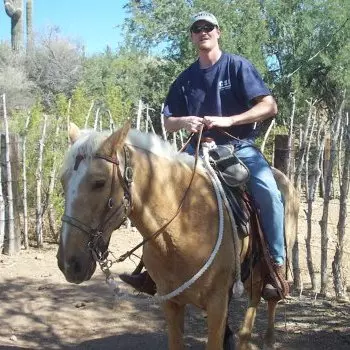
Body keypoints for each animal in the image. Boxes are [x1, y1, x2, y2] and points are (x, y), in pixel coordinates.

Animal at [56, 121, 298, 348]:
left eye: (99, 182)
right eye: (62, 181)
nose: (69, 264)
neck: (184, 226)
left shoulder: (217, 303)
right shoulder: (171, 302)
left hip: (262, 271)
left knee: (262, 303)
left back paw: (269, 337)